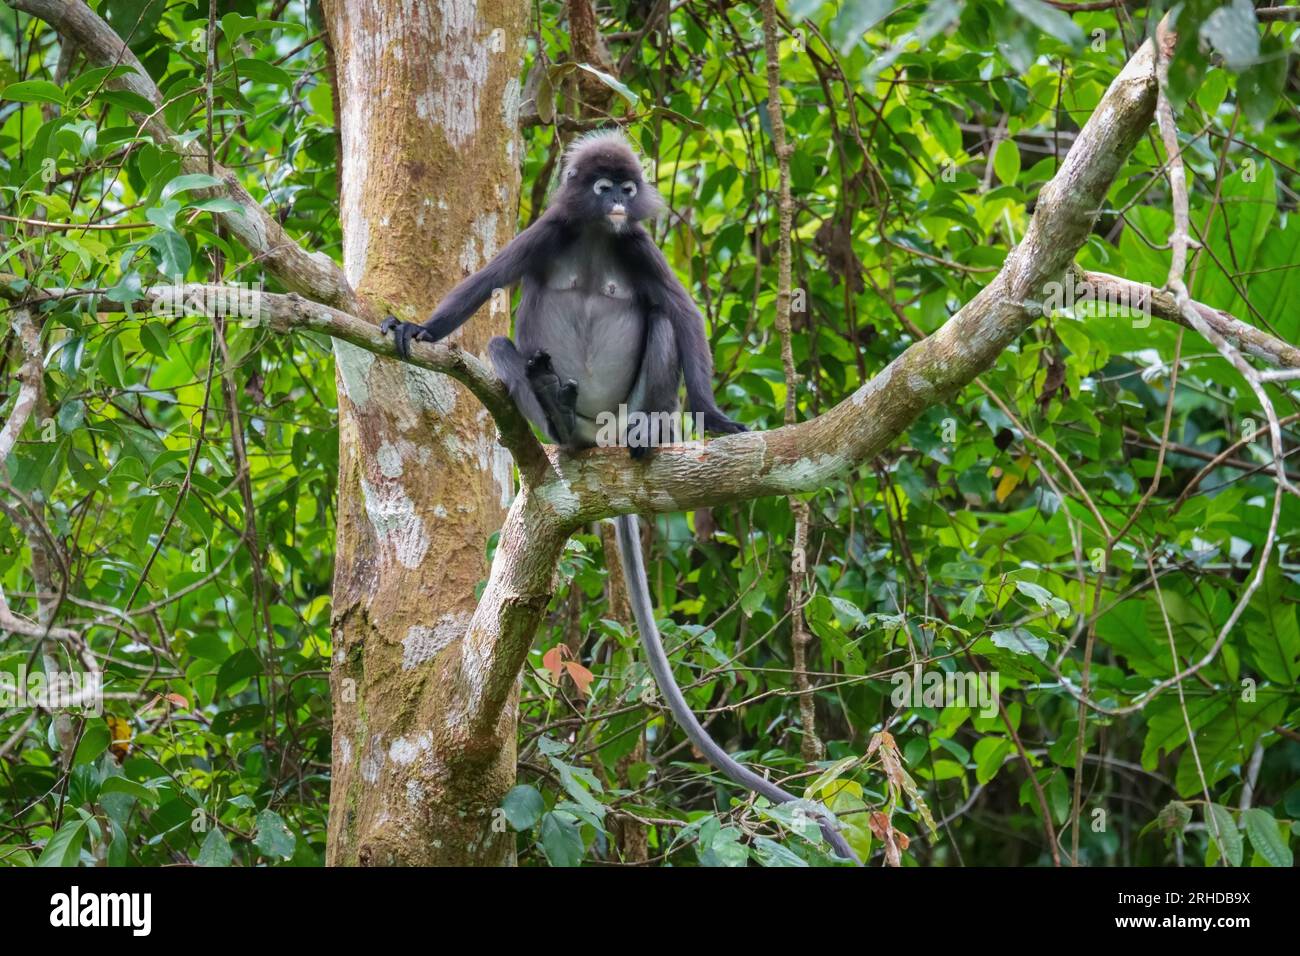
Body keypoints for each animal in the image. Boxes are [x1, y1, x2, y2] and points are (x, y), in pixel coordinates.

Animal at [382, 130, 857, 864]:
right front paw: (421, 330)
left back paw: (641, 444)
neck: (596, 240)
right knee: (502, 344)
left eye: (629, 191)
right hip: (560, 412)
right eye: (603, 187)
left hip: (633, 402)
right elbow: (482, 288)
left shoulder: (636, 245)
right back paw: (553, 410)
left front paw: (712, 415)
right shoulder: (549, 230)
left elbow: (682, 313)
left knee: (660, 324)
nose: (617, 202)